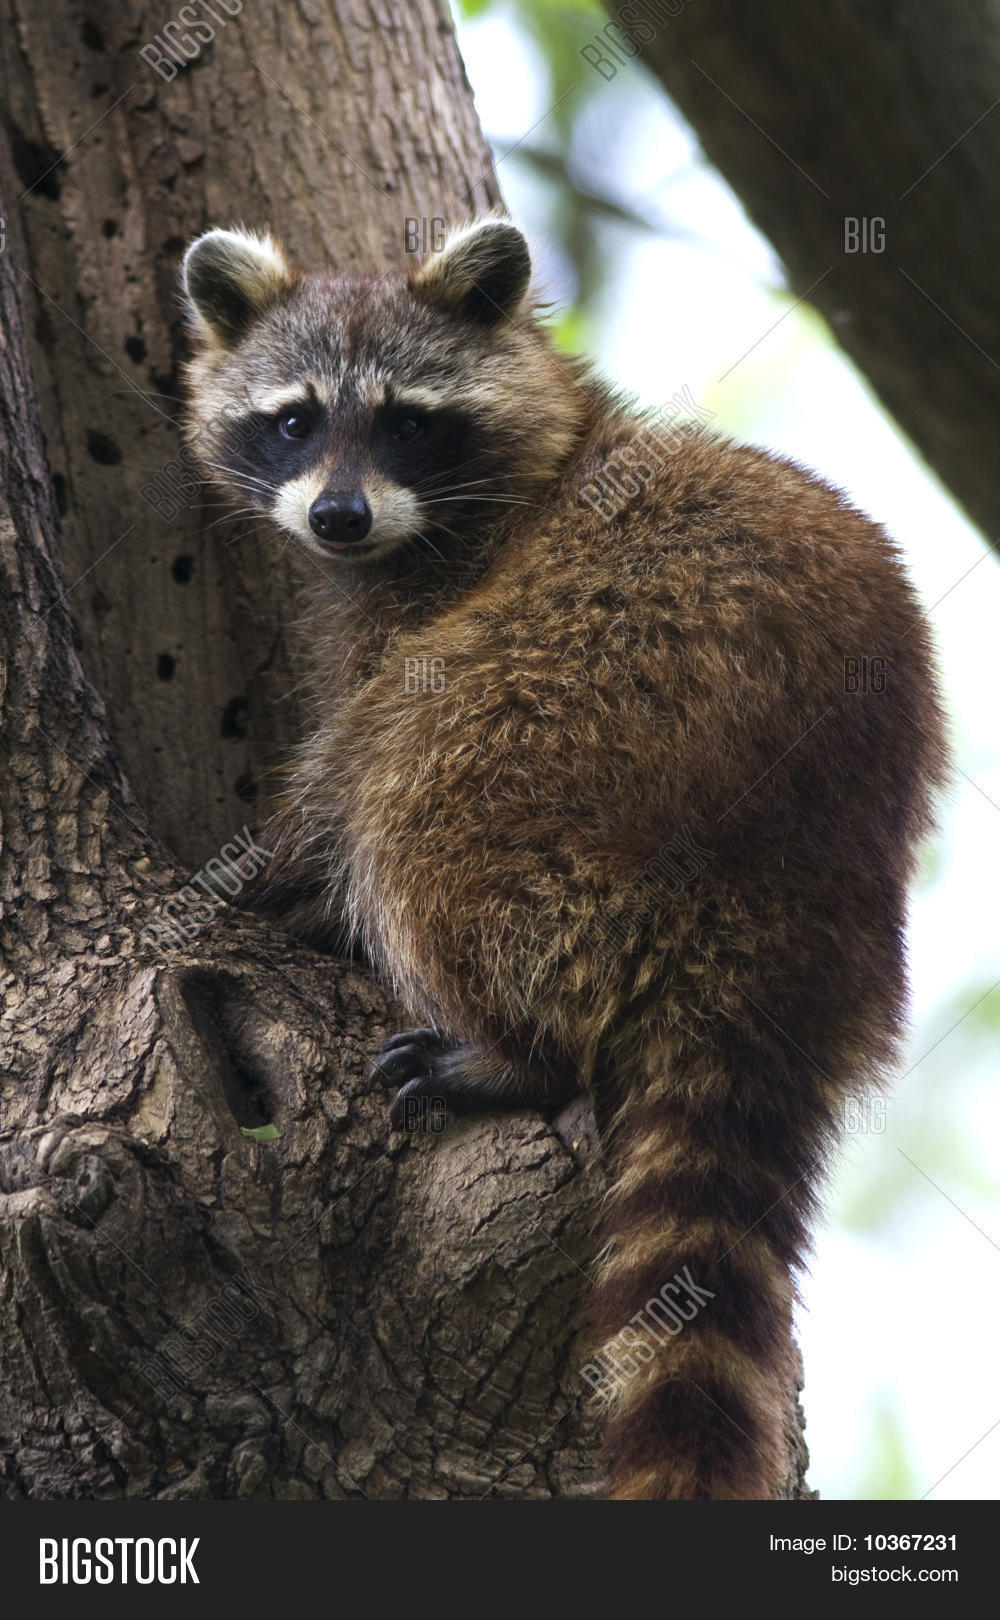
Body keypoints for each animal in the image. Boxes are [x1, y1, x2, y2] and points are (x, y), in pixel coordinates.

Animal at [181, 217, 948, 1500]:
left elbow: (342, 770)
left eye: (407, 420)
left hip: (565, 718)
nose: (337, 517)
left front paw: (260, 881)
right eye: (292, 419)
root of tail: (782, 901)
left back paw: (515, 1050)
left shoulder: (432, 612)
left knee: (410, 802)